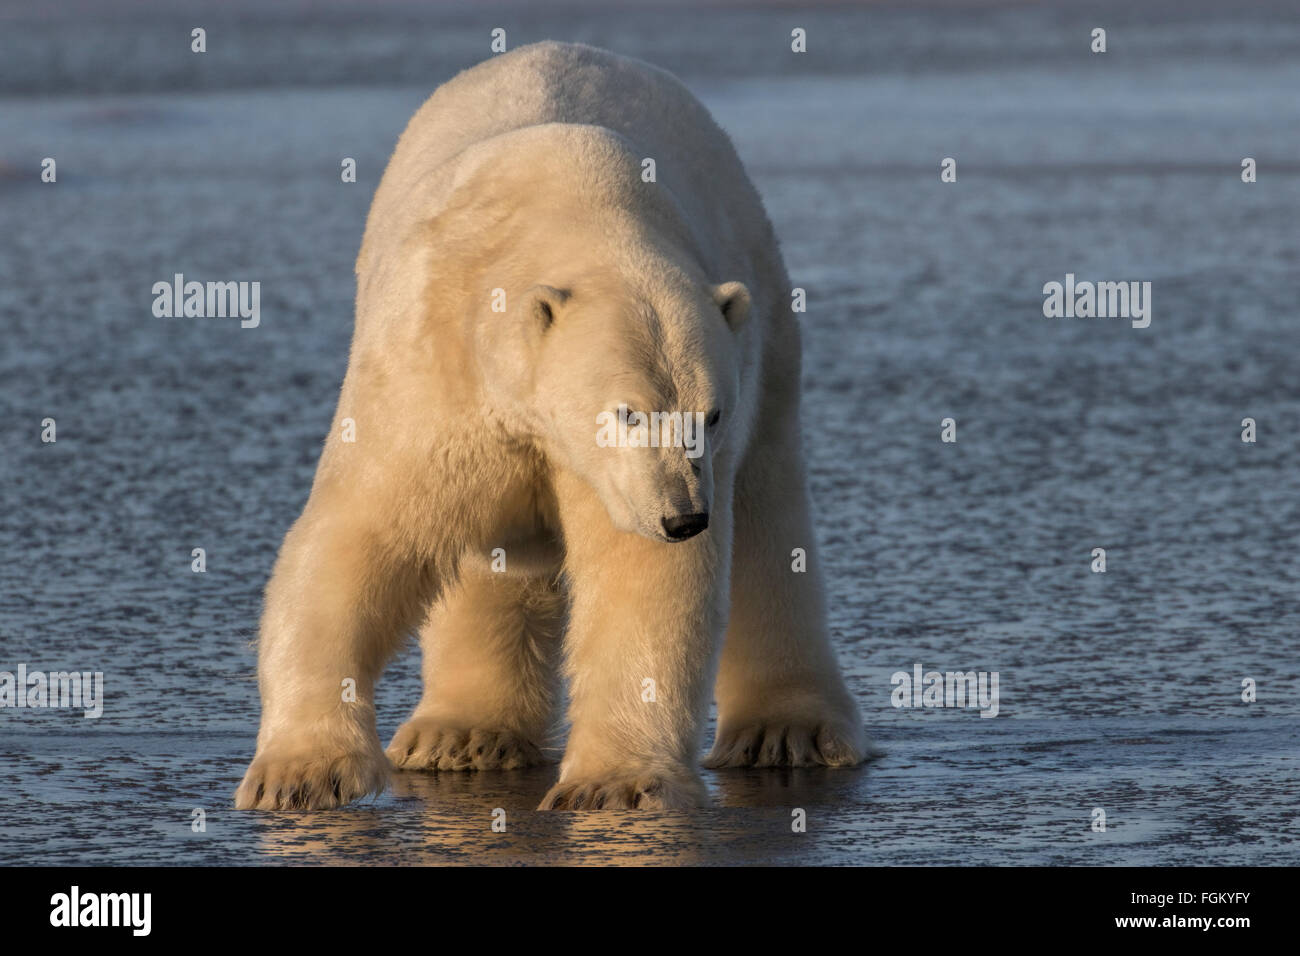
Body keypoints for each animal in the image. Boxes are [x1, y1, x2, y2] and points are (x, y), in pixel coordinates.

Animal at [234, 40, 869, 812]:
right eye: (627, 412)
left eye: (708, 414)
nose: (684, 517)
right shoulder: (437, 369)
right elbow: (363, 538)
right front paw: (301, 775)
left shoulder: (635, 474)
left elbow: (642, 584)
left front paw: (612, 786)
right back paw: (458, 735)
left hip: (767, 337)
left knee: (769, 525)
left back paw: (786, 731)